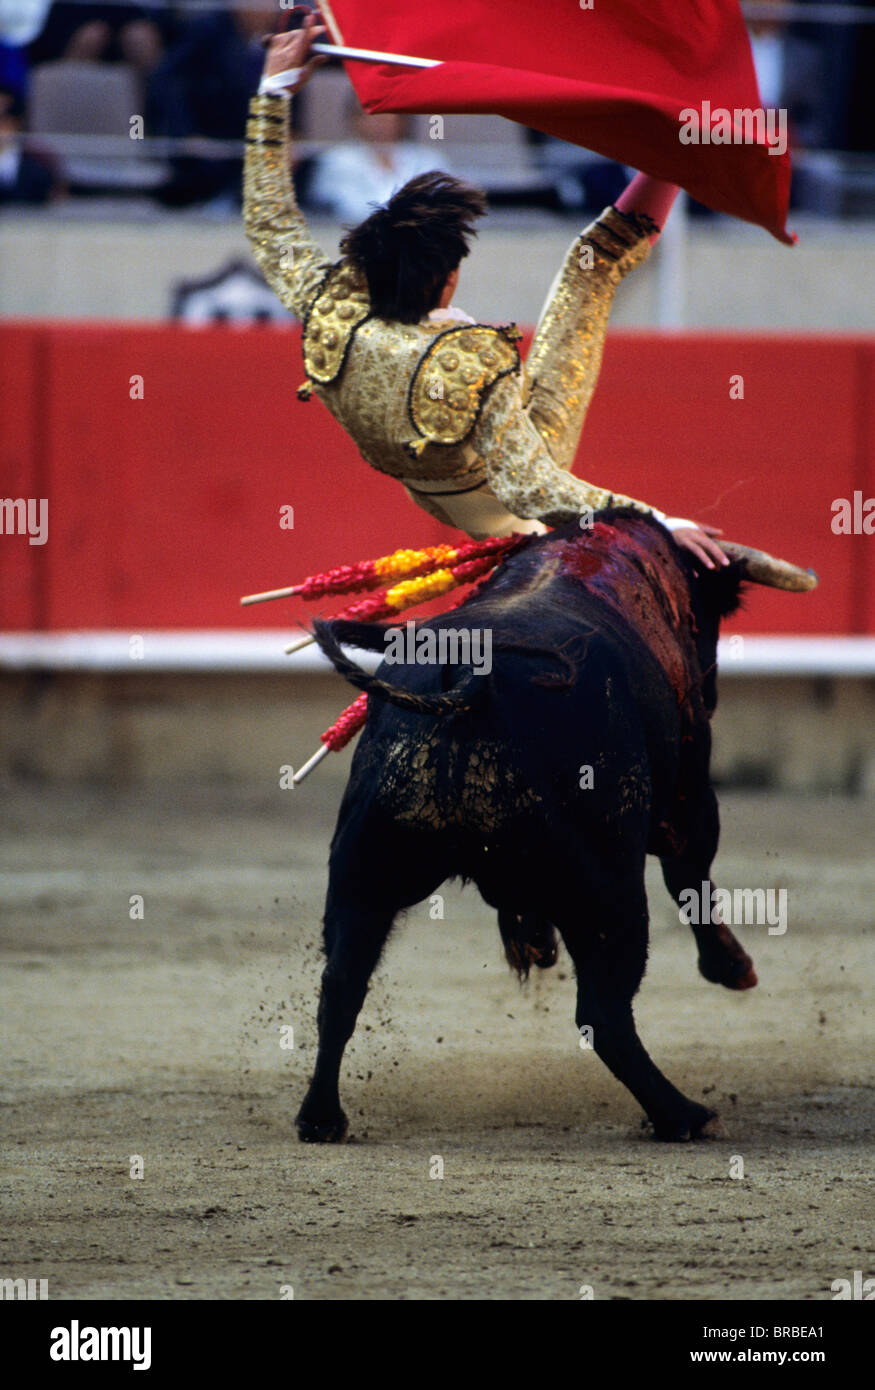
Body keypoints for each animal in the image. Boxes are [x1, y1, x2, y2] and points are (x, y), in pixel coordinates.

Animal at [296, 509, 814, 1143]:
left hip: (362, 870)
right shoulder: (690, 797)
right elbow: (689, 877)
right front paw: (732, 967)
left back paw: (321, 1117)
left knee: (340, 987)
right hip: (609, 891)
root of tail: (467, 673)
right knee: (604, 1014)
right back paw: (683, 1115)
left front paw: (534, 940)